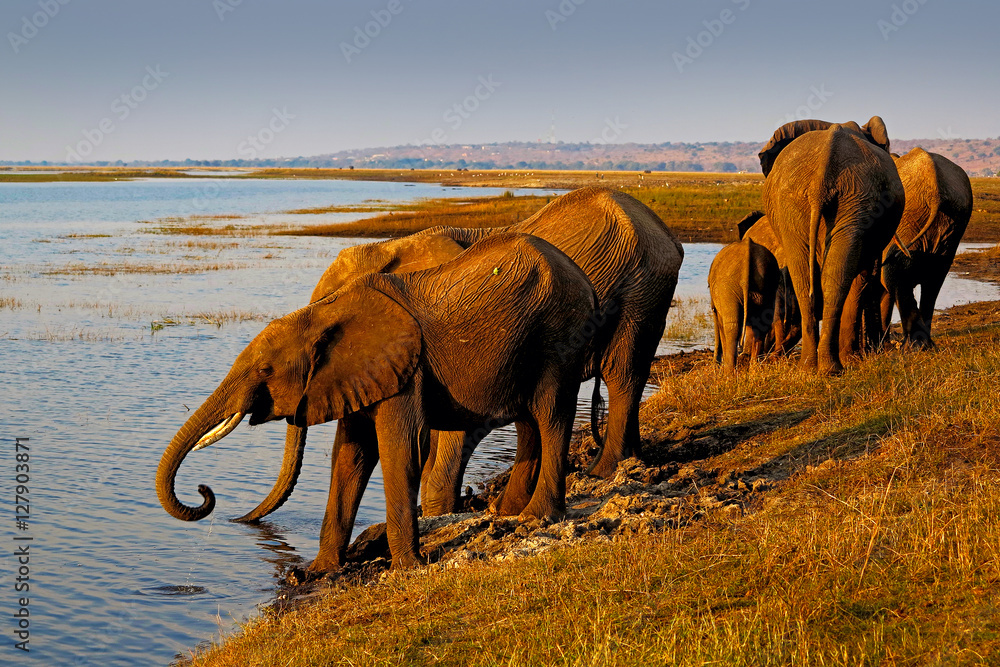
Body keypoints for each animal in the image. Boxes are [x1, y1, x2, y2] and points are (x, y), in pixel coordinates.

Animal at [156, 232, 606, 571]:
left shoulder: (407, 369)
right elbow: (349, 455)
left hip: (559, 333)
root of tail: (584, 280)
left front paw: (408, 568)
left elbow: (400, 450)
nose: (206, 492)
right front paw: (319, 572)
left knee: (550, 414)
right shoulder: (360, 374)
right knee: (529, 420)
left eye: (265, 370)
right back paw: (507, 514)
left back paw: (537, 517)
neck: (323, 316)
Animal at [236, 186, 683, 524]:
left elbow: (453, 435)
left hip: (640, 287)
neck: (399, 246)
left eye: (329, 303)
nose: (240, 520)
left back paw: (602, 471)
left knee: (621, 372)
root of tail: (668, 233)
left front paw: (437, 513)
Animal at [708, 237, 780, 371]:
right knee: (762, 325)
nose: (715, 364)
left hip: (728, 288)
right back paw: (754, 369)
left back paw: (729, 372)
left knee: (732, 326)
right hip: (766, 285)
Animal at [759, 117, 905, 373]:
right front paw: (858, 356)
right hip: (850, 199)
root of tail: (822, 176)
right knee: (836, 277)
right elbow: (866, 275)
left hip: (813, 202)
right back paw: (833, 366)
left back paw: (813, 367)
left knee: (807, 277)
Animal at [878, 148, 973, 348]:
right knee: (935, 280)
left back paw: (913, 347)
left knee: (893, 275)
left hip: (909, 217)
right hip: (952, 224)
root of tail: (935, 191)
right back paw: (925, 345)